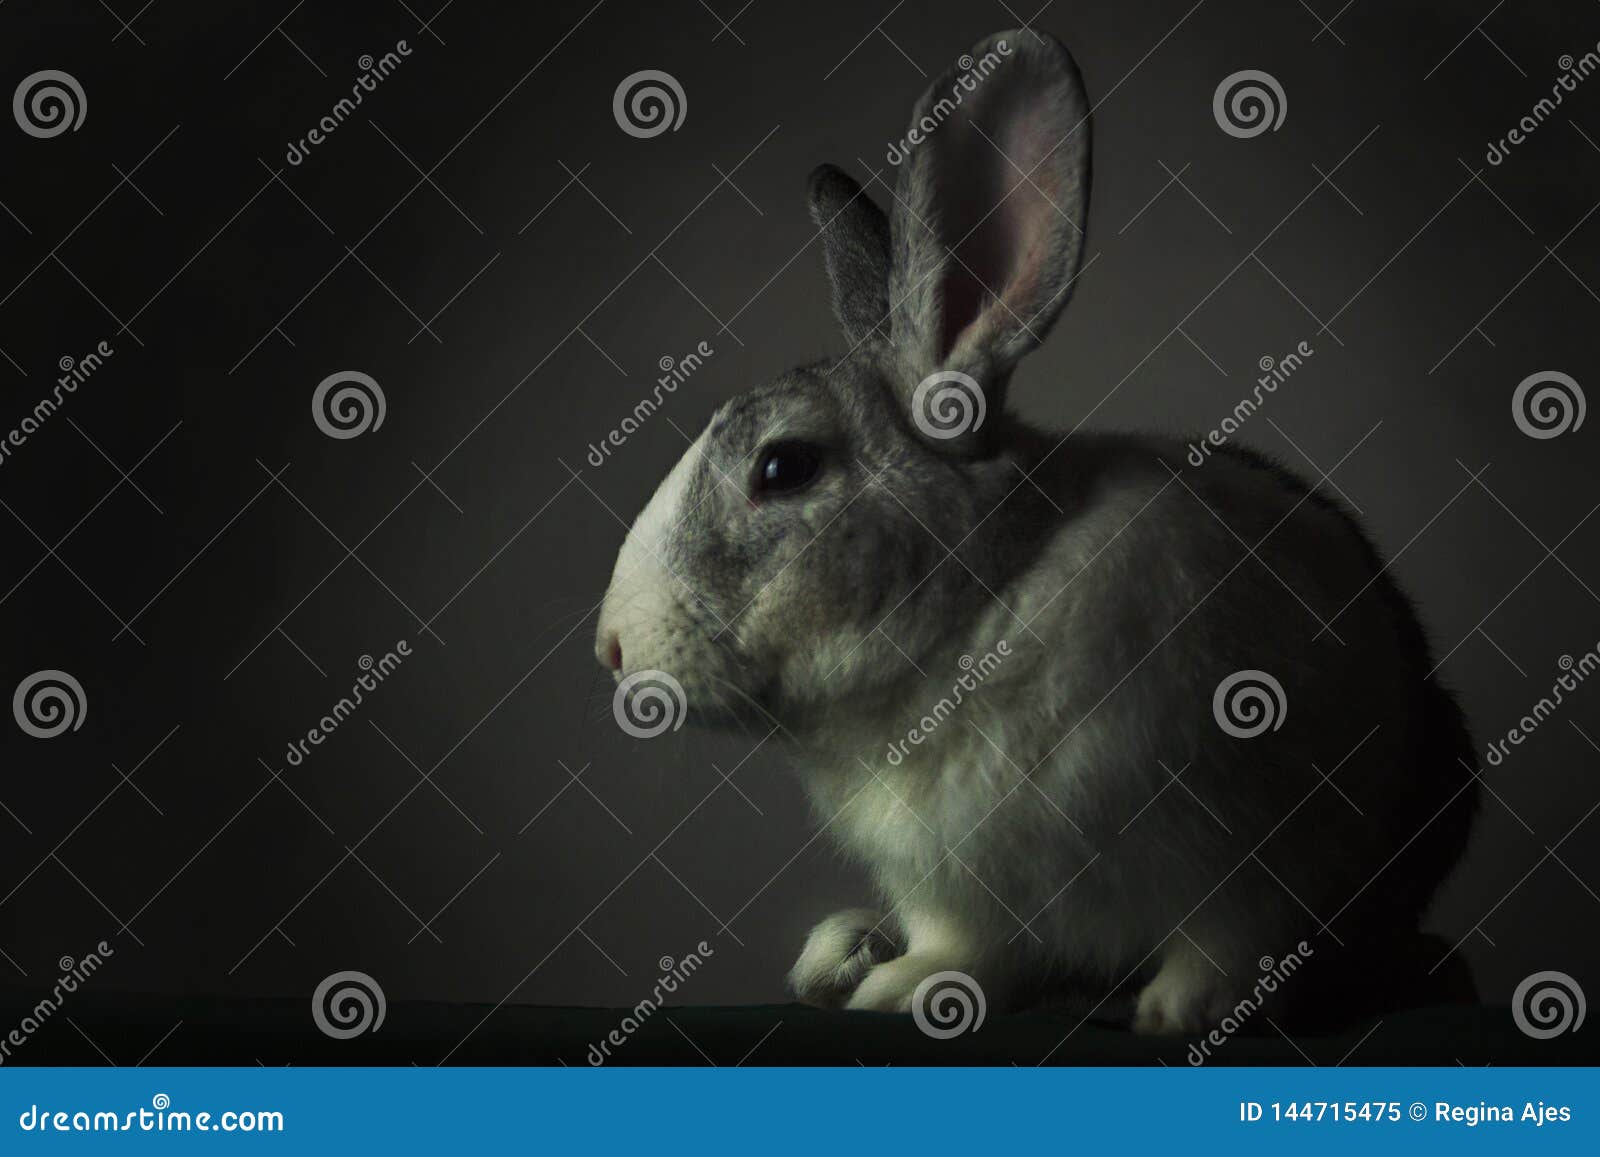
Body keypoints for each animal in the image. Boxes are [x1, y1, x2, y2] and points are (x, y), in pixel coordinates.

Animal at [594, 28, 1478, 1034]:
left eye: (785, 468)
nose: (612, 650)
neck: (975, 620)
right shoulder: (958, 895)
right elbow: (965, 951)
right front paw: (903, 985)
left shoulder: (1263, 852)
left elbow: (1235, 935)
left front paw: (1184, 1008)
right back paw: (848, 951)